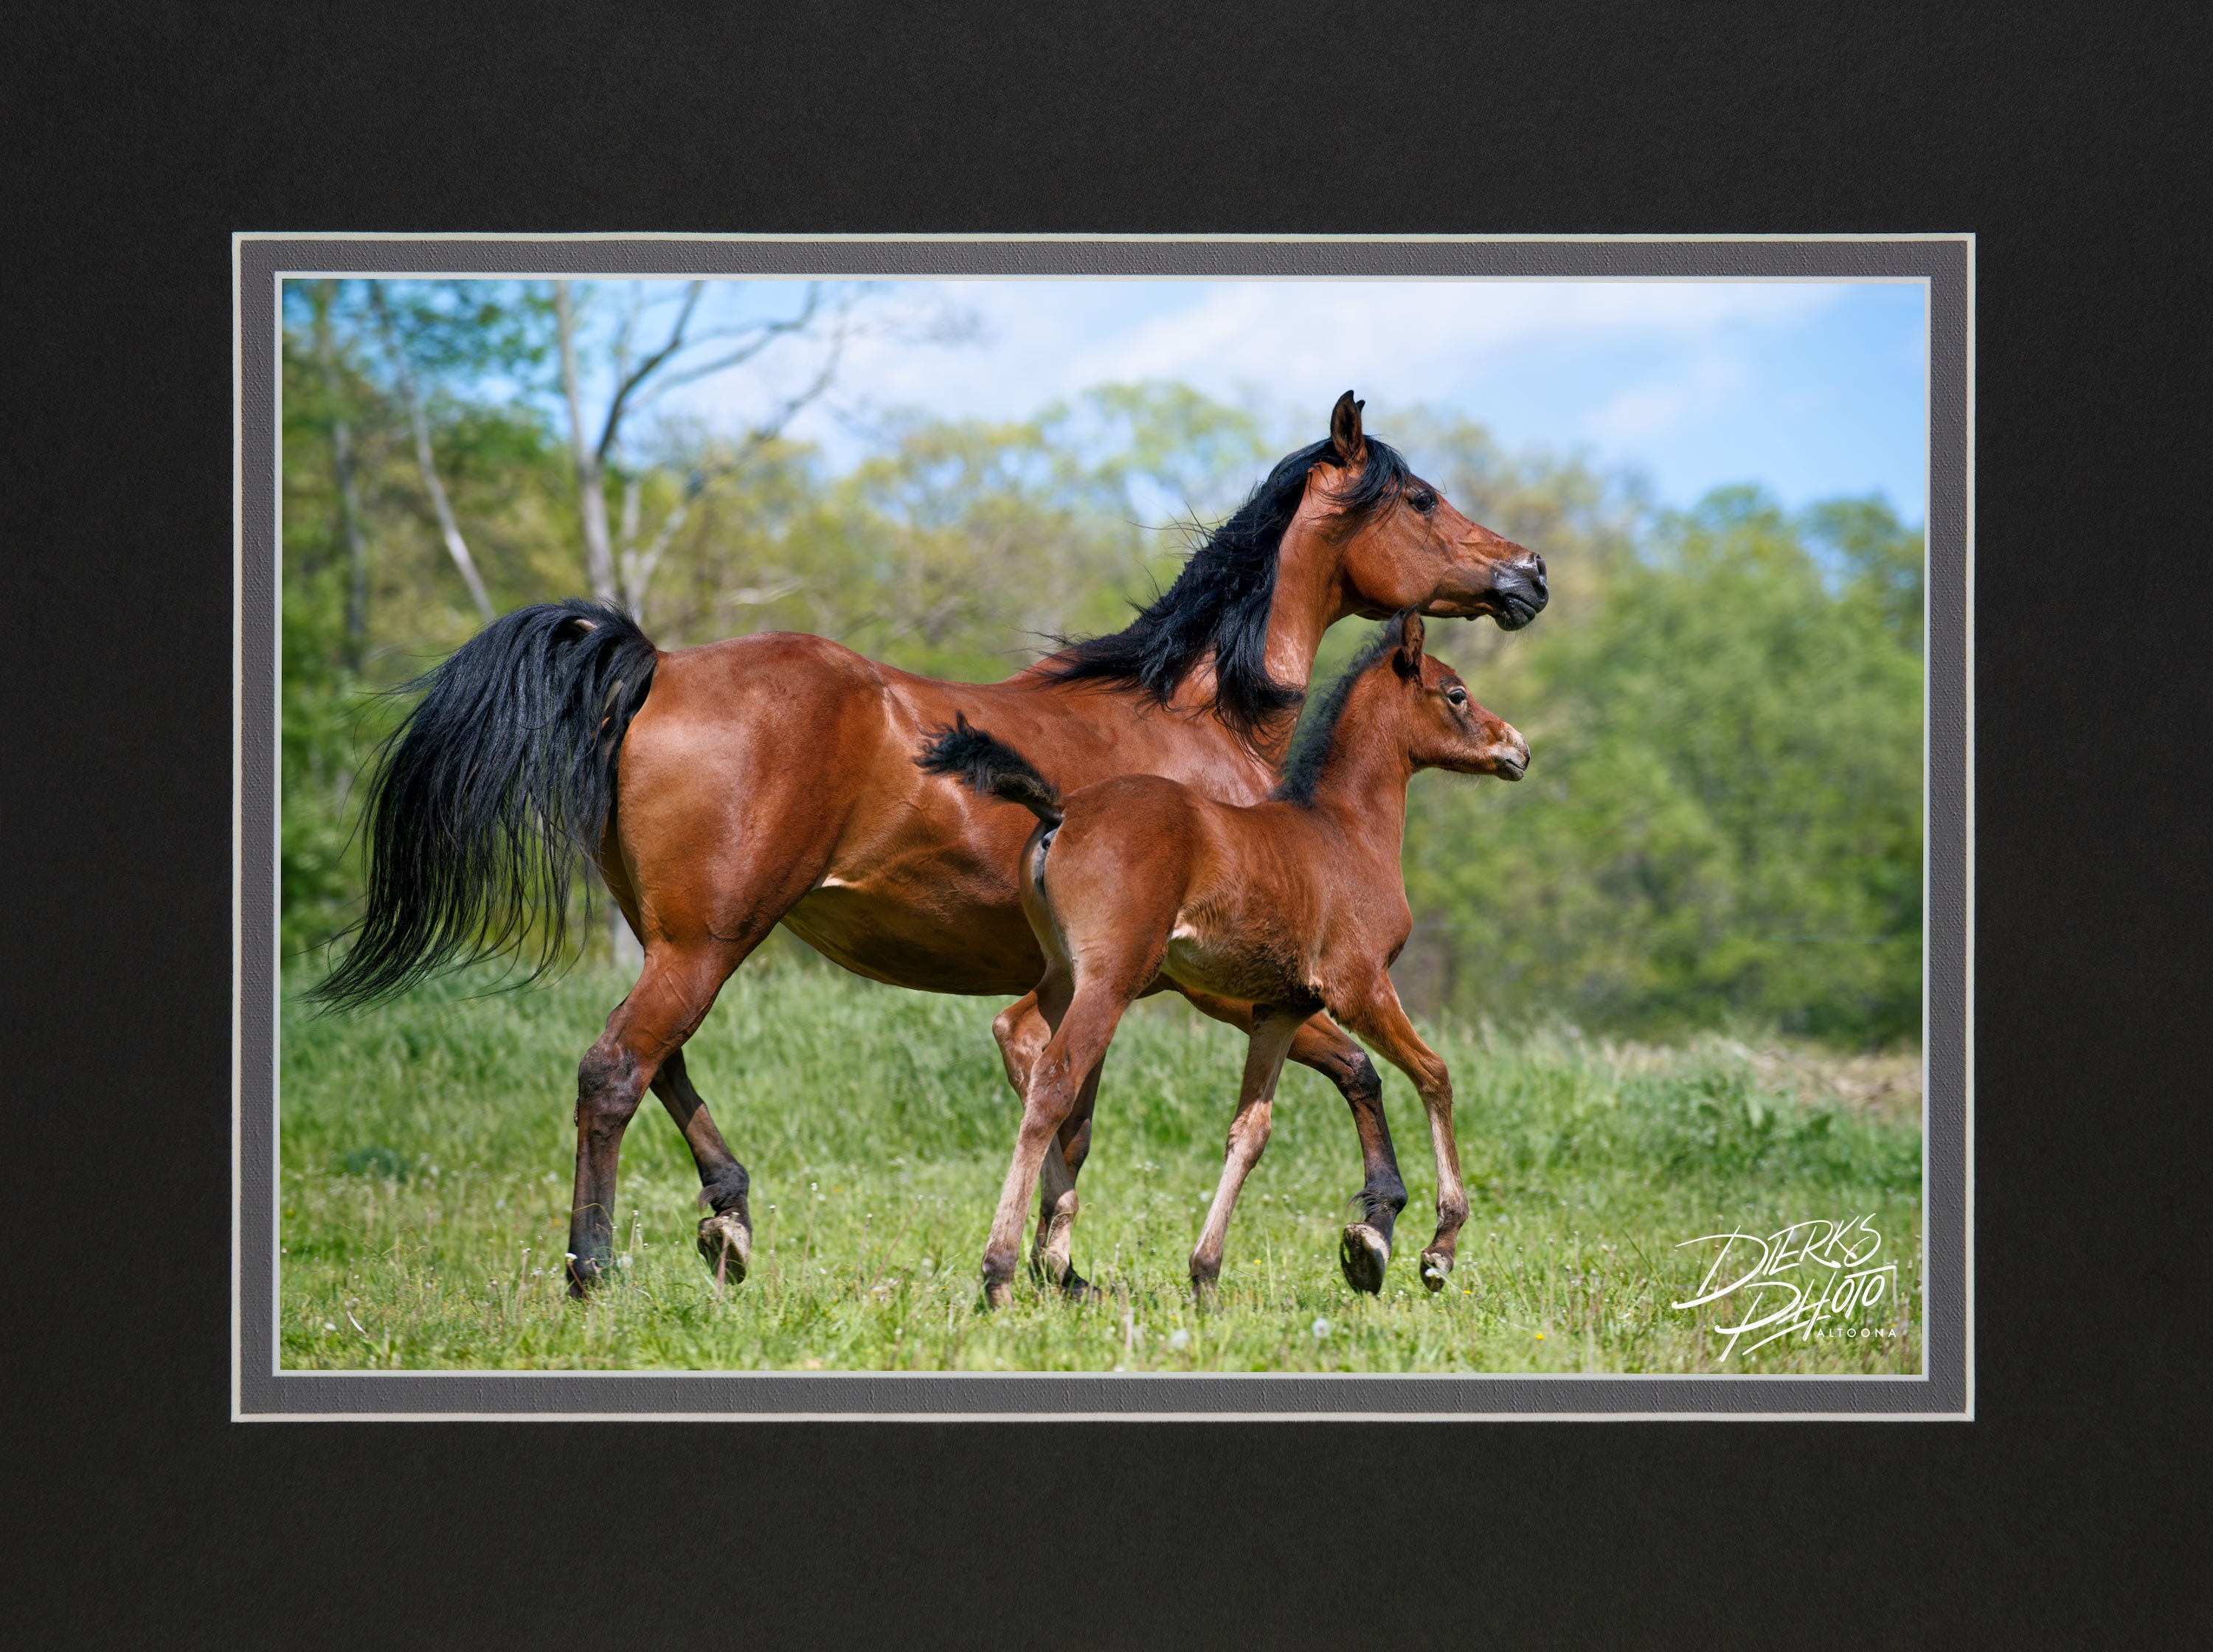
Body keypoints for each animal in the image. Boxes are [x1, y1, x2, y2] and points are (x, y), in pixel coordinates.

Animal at [920, 612, 1526, 1304]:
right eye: (1456, 694)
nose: (1517, 748)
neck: (1346, 832)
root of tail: (1060, 809)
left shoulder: (1281, 1008)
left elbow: (1250, 1131)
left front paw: (1206, 1274)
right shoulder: (1360, 986)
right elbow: (1435, 1074)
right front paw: (1439, 1247)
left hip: (1064, 974)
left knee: (1019, 1037)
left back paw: (1046, 1255)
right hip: (1112, 979)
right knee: (1055, 1081)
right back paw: (999, 1273)